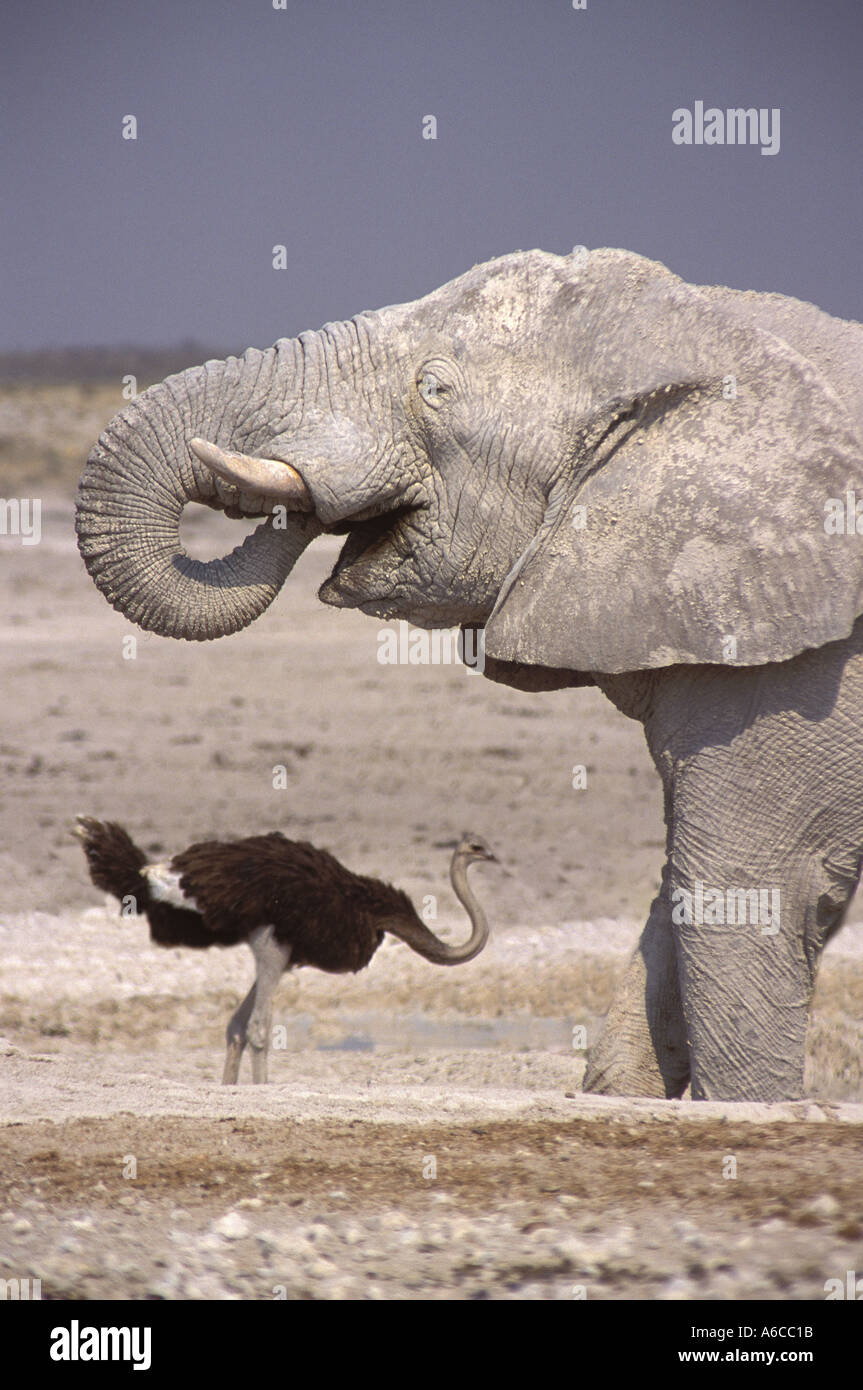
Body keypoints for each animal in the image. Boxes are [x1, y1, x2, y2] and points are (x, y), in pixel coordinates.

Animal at [76, 246, 863, 1103]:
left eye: (433, 390)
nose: (310, 505)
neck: (723, 324)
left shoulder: (806, 664)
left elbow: (754, 885)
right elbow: (692, 879)